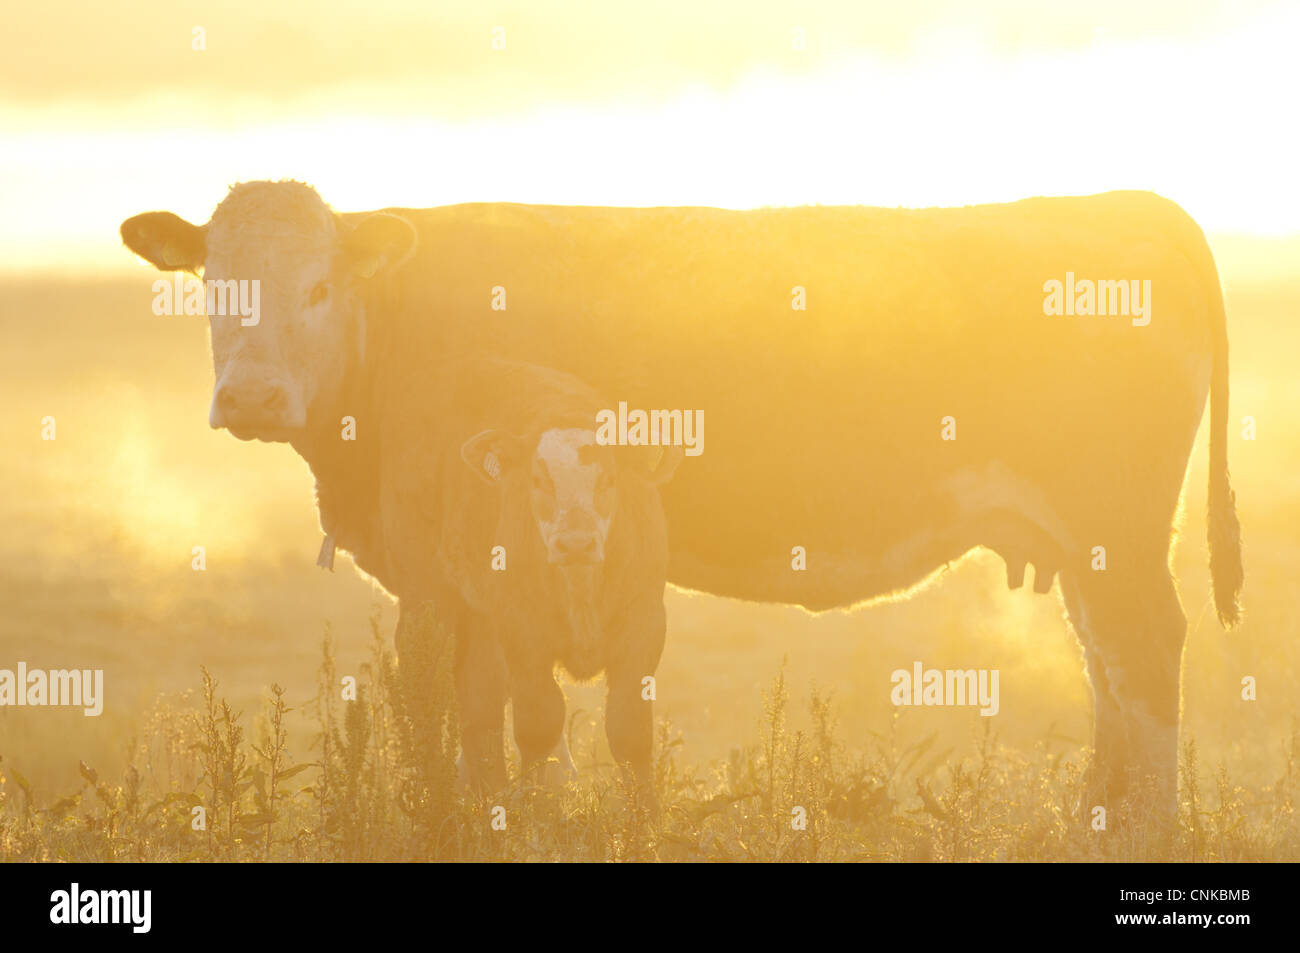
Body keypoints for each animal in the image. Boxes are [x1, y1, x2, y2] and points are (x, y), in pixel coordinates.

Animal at [120, 181, 1242, 815]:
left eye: (317, 287)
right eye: (214, 283)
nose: (253, 396)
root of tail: (1131, 202)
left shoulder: (435, 585)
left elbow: (441, 721)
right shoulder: (488, 591)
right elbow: (495, 728)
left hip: (1116, 537)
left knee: (1143, 662)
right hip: (1088, 549)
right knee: (1106, 671)